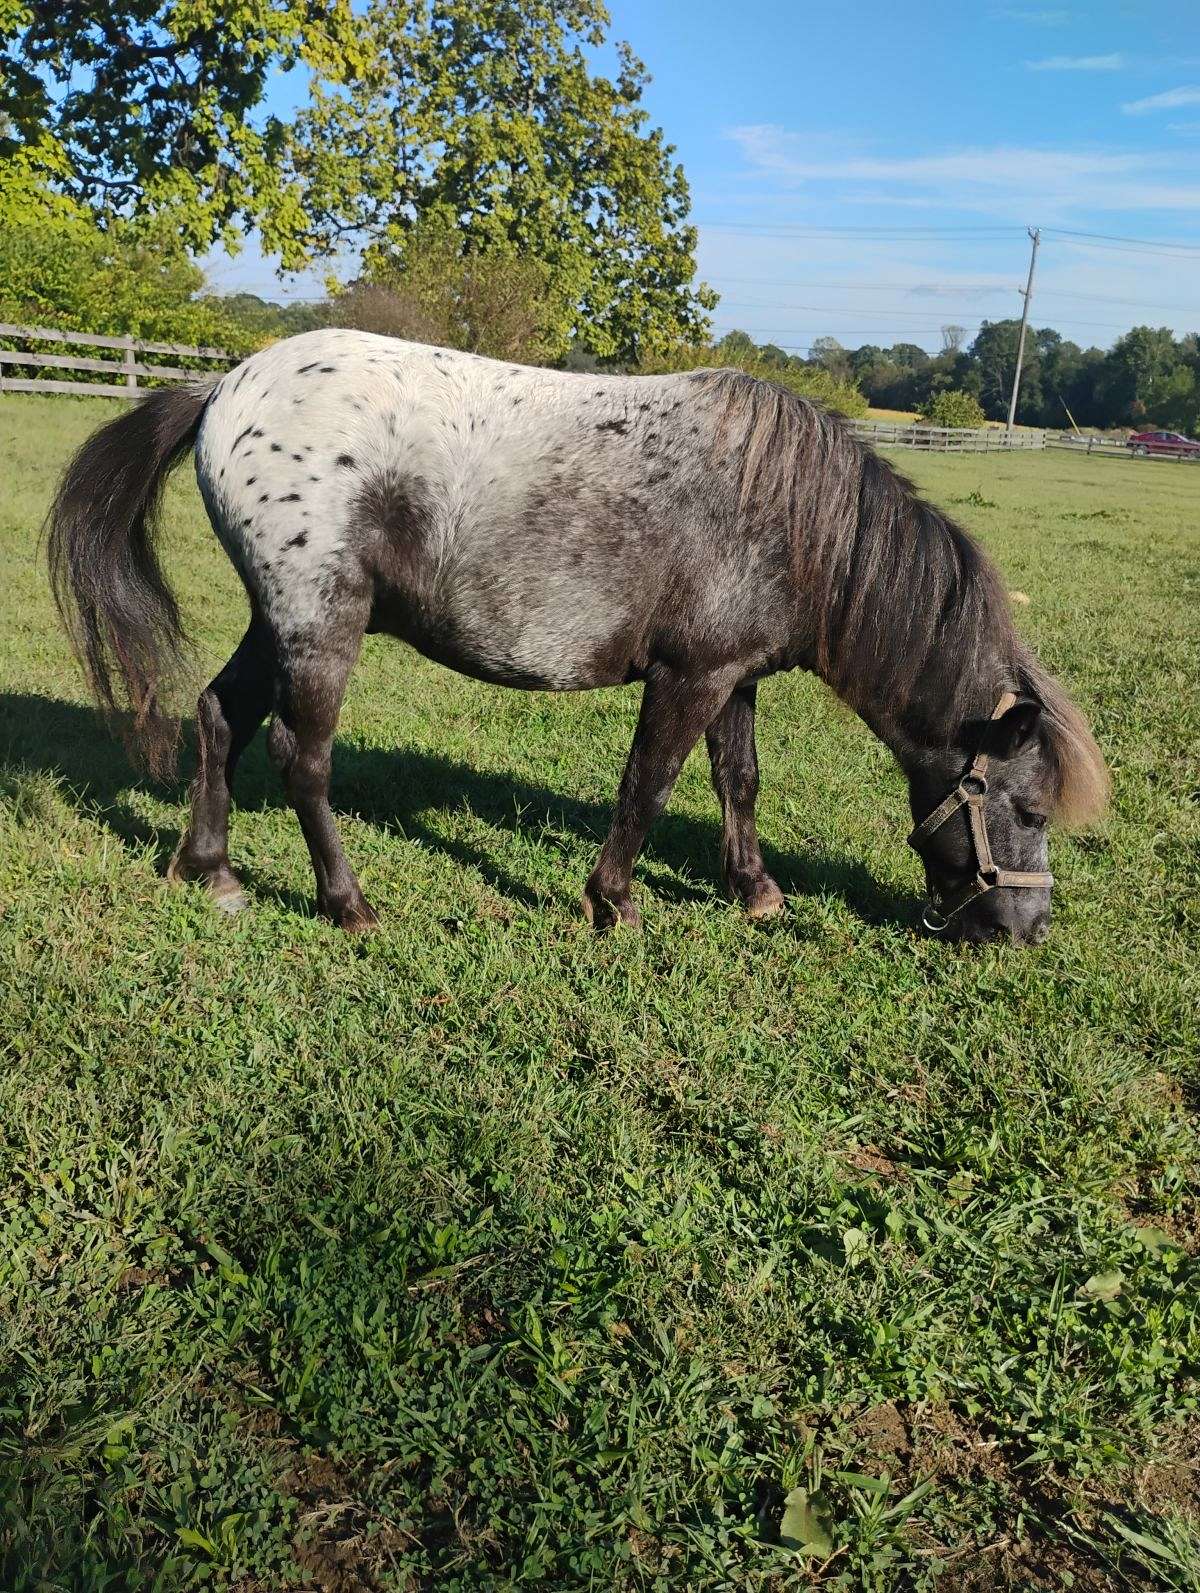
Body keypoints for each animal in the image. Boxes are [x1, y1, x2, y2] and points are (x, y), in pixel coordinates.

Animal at [47, 329, 1108, 945]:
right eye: (1027, 809)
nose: (1028, 930)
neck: (790, 516)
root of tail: (223, 388)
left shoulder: (735, 676)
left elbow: (739, 780)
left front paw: (753, 890)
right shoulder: (687, 678)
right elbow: (650, 782)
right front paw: (614, 901)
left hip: (278, 621)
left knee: (219, 716)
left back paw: (212, 870)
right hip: (319, 622)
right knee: (299, 757)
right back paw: (347, 903)